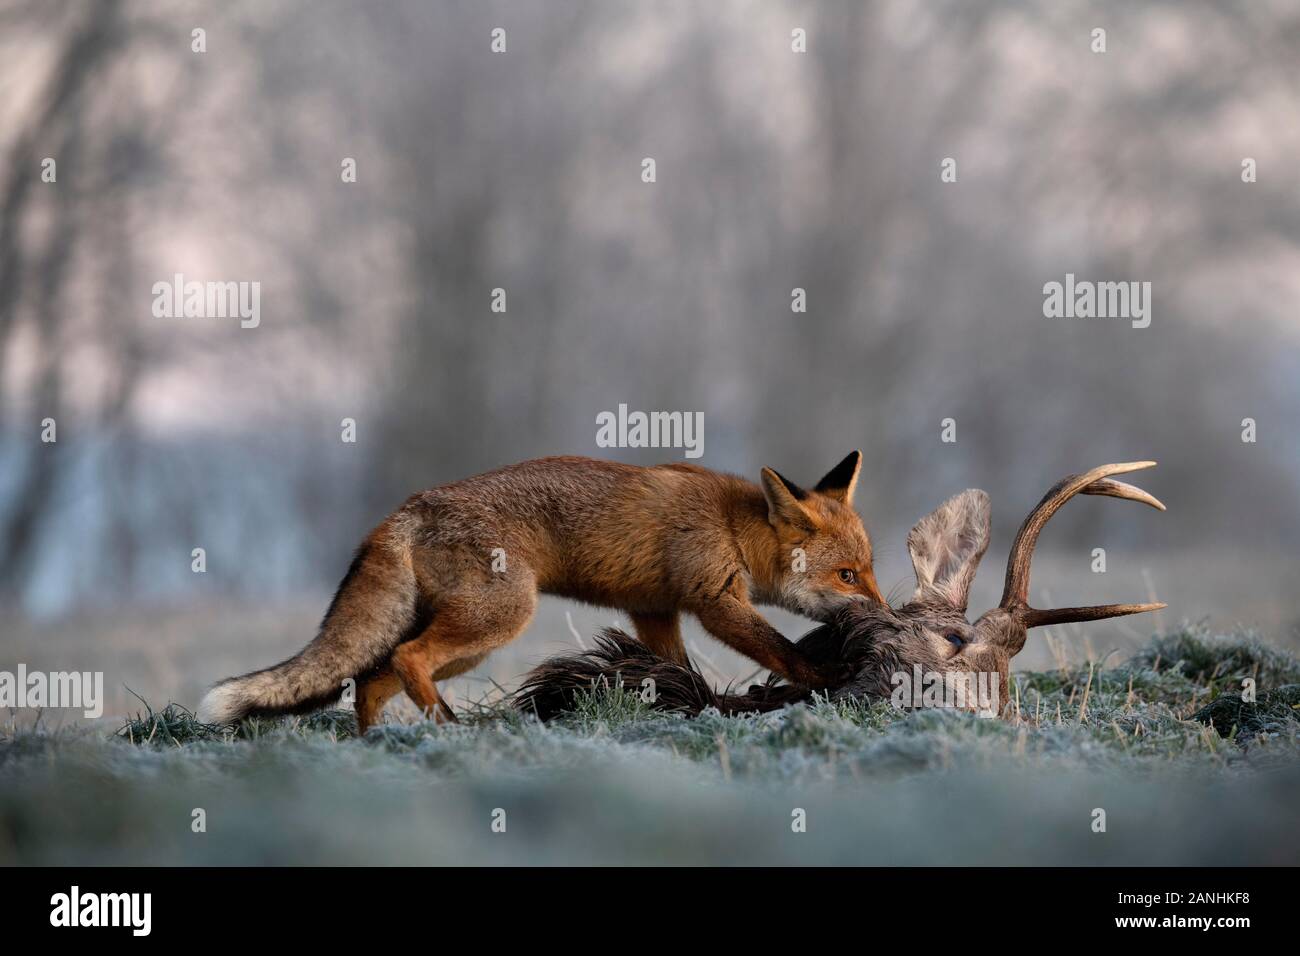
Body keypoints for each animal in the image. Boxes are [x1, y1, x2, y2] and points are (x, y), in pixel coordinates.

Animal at [197, 452, 883, 733]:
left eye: (869, 569)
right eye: (847, 576)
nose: (885, 614)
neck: (733, 527)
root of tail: (407, 508)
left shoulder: (654, 608)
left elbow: (675, 667)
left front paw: (686, 701)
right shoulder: (714, 601)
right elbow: (782, 650)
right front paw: (825, 675)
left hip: (469, 643)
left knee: (372, 677)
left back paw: (381, 750)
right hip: (499, 618)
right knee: (404, 658)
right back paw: (451, 732)